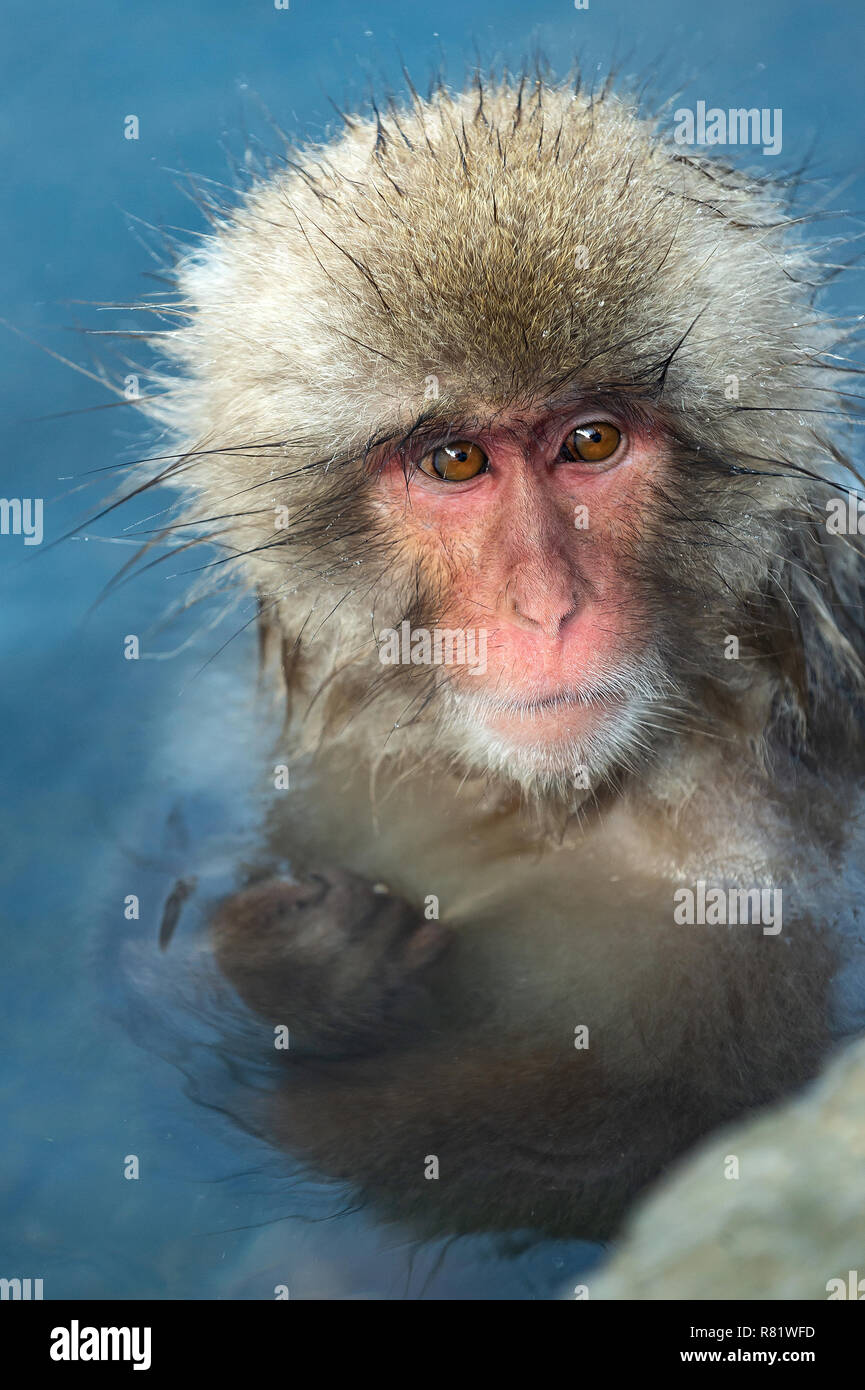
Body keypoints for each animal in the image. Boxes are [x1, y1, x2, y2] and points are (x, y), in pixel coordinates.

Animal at [120, 72, 865, 1246]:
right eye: (455, 459)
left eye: (590, 442)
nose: (545, 606)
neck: (554, 797)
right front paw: (294, 958)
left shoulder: (745, 858)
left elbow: (669, 1128)